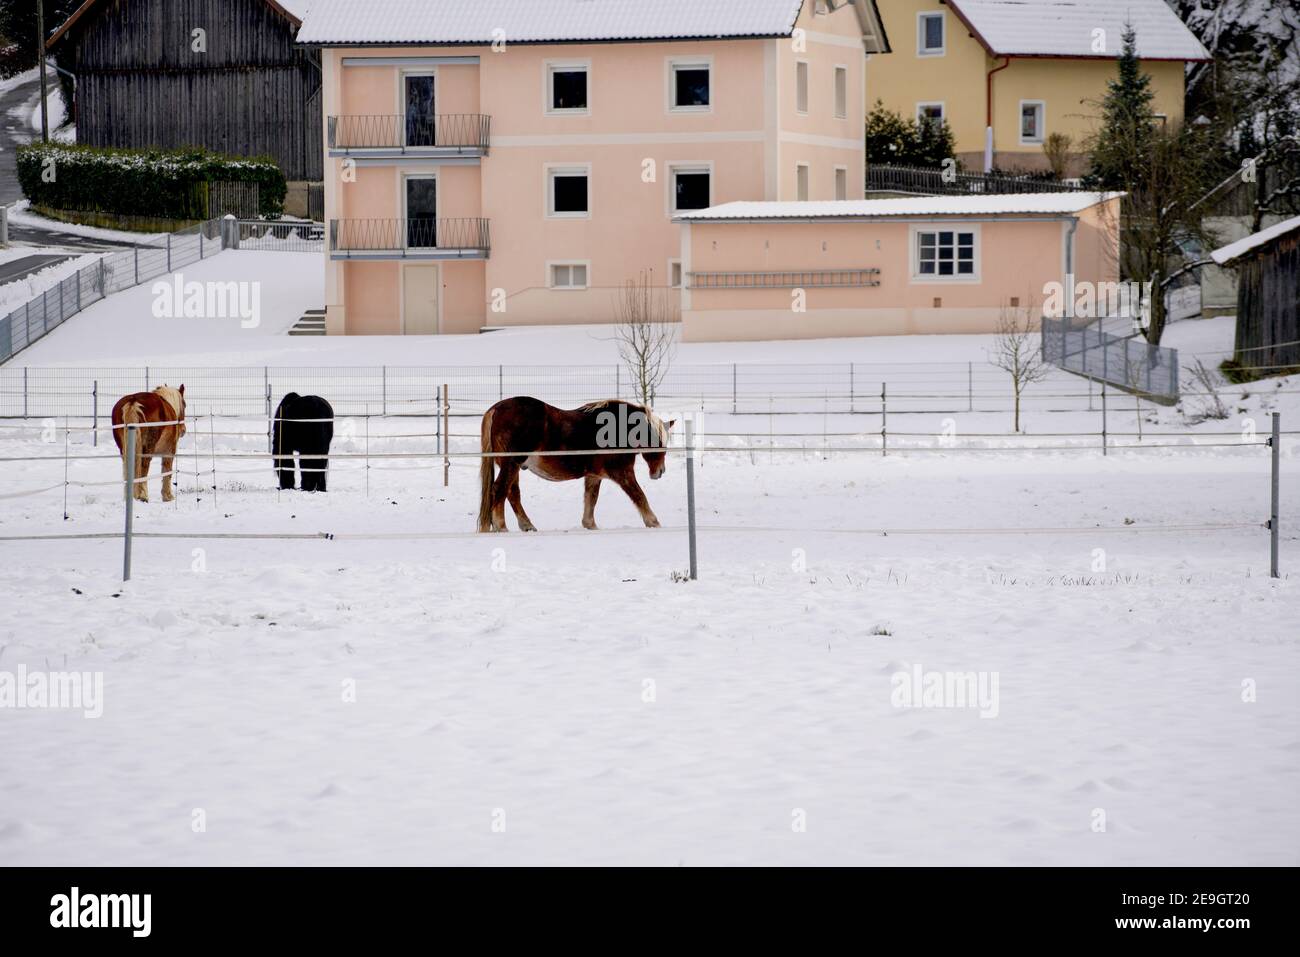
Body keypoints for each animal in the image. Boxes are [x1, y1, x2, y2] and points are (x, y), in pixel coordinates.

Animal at [478, 397, 675, 533]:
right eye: (660, 442)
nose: (660, 471)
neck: (618, 429)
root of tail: (496, 409)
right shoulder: (622, 473)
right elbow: (639, 496)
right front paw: (654, 522)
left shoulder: (594, 475)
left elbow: (591, 498)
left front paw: (590, 525)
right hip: (512, 463)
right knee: (500, 489)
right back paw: (501, 526)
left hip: (514, 466)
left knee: (512, 493)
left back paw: (527, 525)